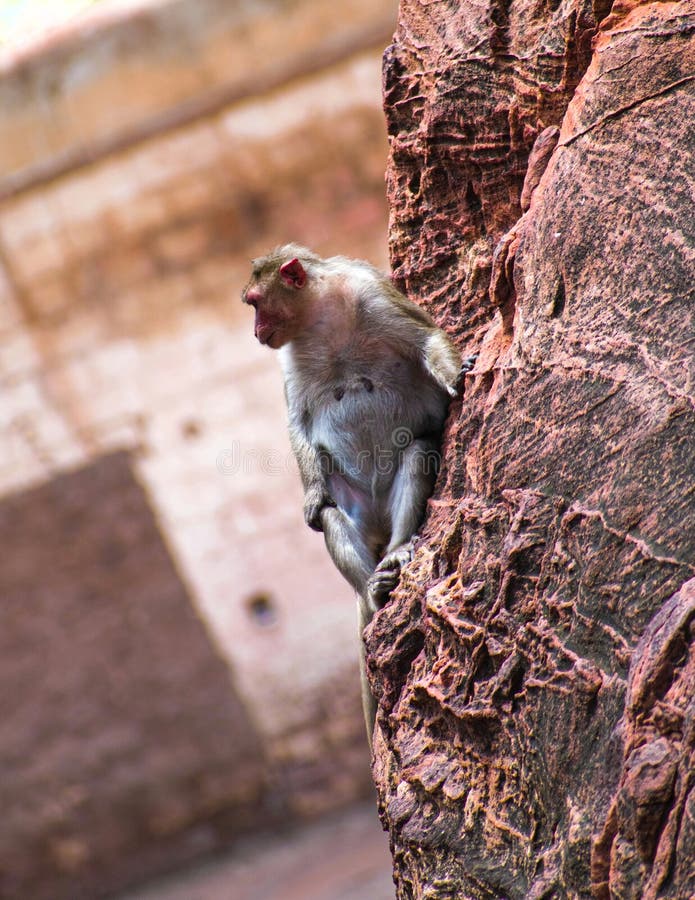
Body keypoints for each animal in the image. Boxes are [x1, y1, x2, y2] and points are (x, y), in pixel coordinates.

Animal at [242, 244, 466, 742]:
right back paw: (371, 589)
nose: (255, 331)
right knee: (332, 512)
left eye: (255, 303)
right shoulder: (291, 355)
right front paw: (310, 494)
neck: (320, 315)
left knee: (417, 452)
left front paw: (455, 375)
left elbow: (425, 339)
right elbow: (300, 420)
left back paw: (398, 552)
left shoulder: (371, 293)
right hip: (358, 506)